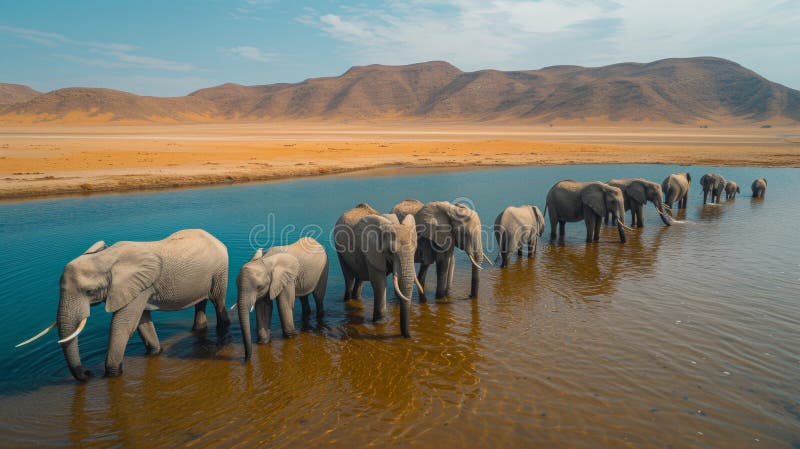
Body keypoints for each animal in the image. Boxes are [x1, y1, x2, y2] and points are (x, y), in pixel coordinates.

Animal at [16, 229, 229, 381]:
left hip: (219, 270)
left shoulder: (139, 286)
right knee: (200, 303)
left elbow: (123, 325)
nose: (88, 373)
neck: (106, 258)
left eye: (89, 292)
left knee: (217, 300)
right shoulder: (137, 288)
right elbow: (141, 322)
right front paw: (155, 352)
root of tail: (215, 238)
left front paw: (111, 374)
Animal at [333, 203, 421, 337]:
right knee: (349, 278)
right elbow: (379, 284)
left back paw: (356, 299)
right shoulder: (373, 251)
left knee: (359, 279)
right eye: (391, 251)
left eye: (415, 249)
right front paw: (380, 322)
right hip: (340, 252)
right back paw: (348, 300)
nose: (410, 337)